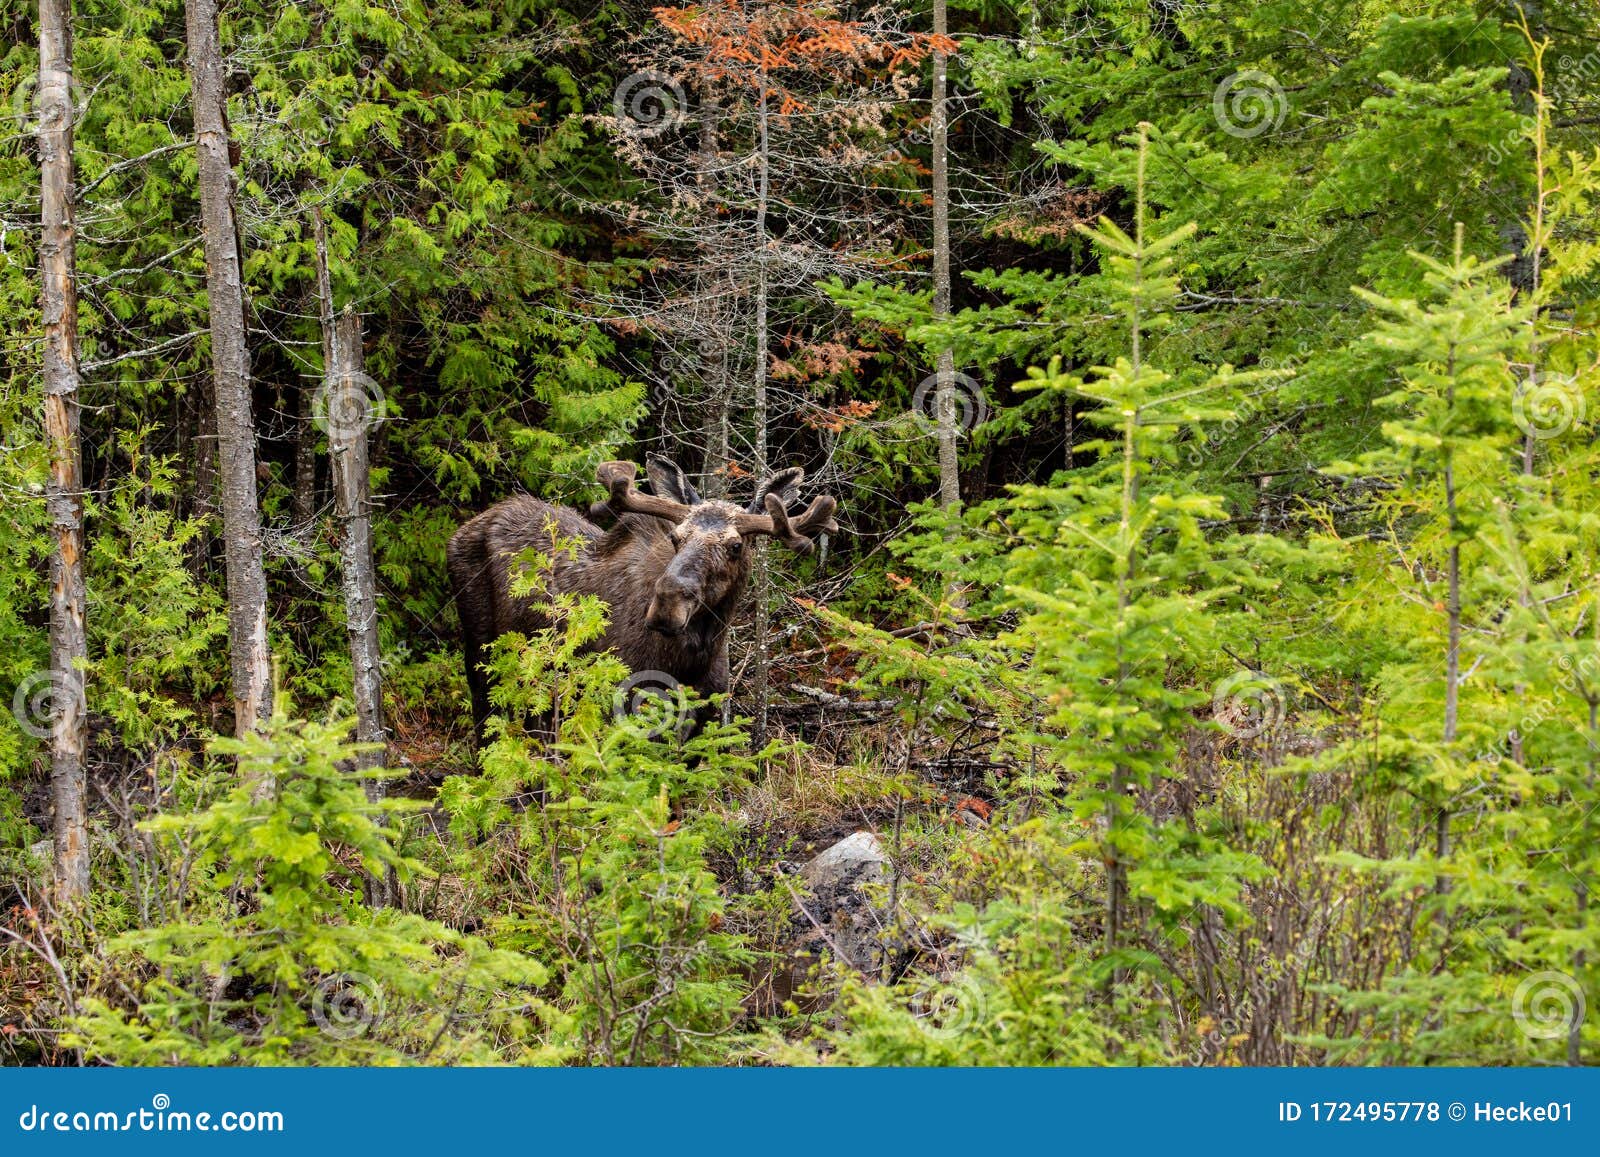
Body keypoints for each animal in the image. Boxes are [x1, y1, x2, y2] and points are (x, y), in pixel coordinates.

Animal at [447, 455, 839, 744]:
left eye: (735, 546)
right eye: (676, 538)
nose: (666, 606)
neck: (693, 656)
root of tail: (470, 525)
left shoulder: (704, 711)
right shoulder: (622, 701)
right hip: (481, 647)